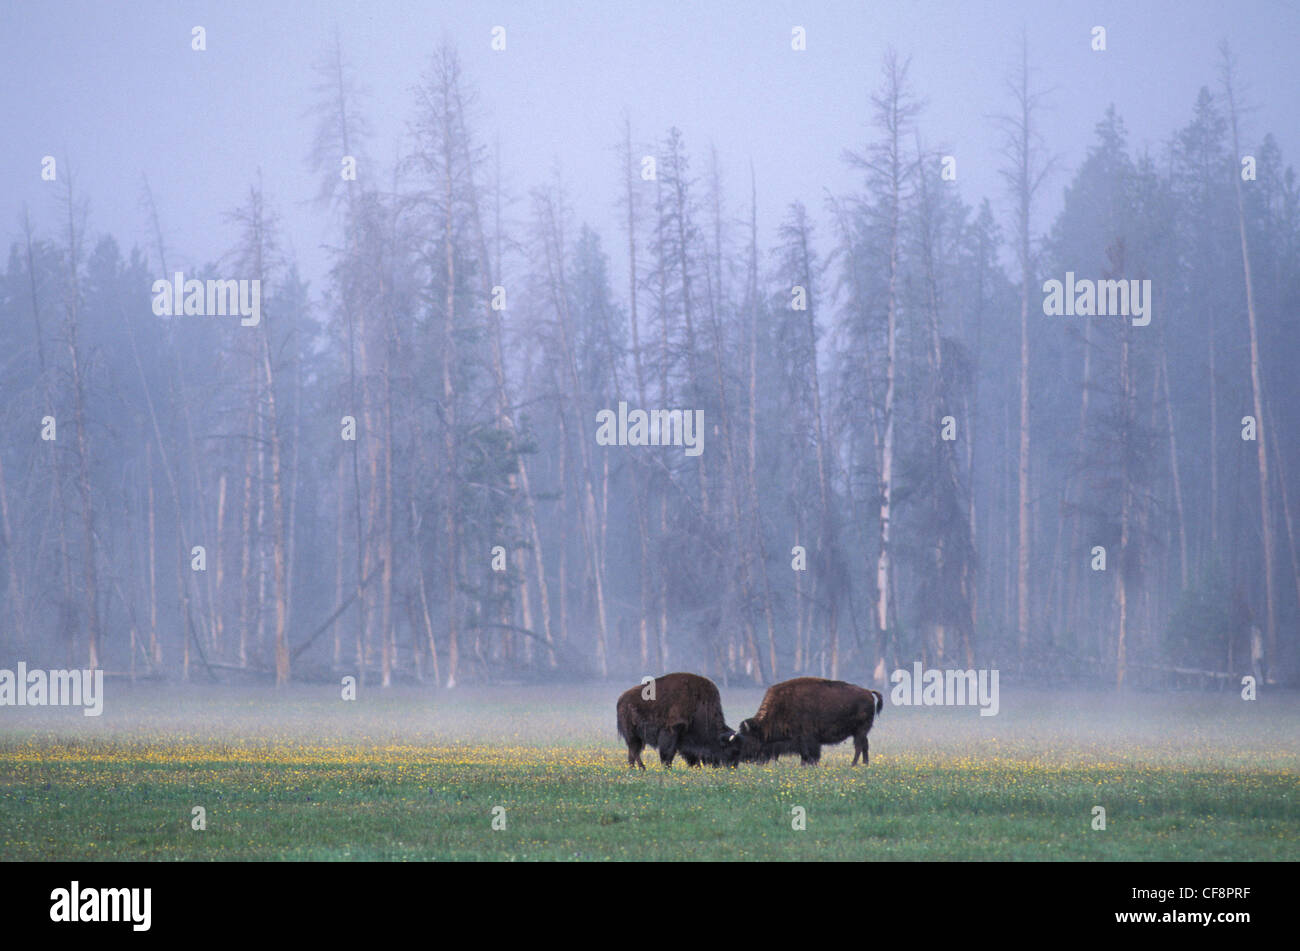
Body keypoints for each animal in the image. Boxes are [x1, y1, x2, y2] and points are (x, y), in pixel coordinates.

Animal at [734, 677, 884, 766]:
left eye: (749, 738)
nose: (743, 758)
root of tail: (868, 692)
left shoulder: (807, 739)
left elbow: (808, 754)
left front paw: (808, 764)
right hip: (861, 732)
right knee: (864, 746)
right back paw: (864, 764)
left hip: (860, 731)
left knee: (859, 746)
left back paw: (853, 764)